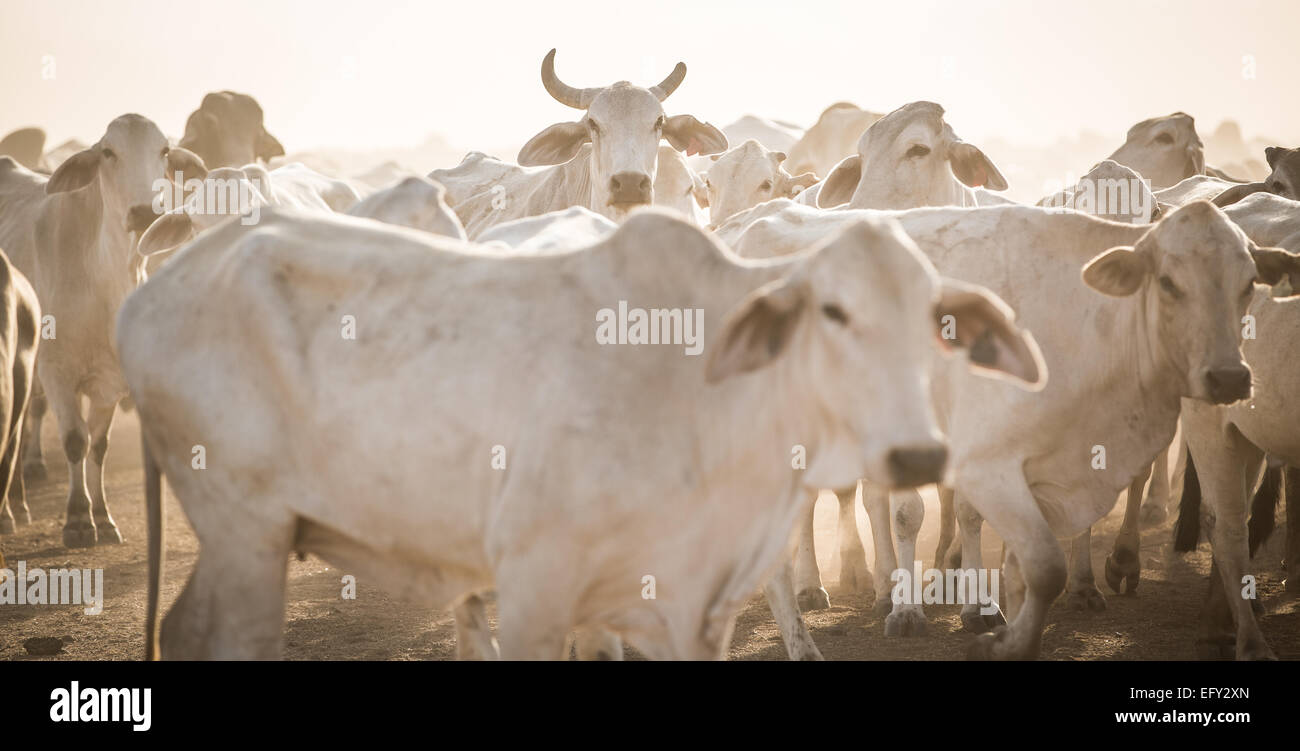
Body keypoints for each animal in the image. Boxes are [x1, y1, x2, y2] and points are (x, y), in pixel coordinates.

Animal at [0, 114, 207, 547]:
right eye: (108, 152)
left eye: (164, 151)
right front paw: (78, 519)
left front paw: (103, 516)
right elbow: (75, 441)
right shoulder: (56, 371)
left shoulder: (111, 379)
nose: (145, 211)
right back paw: (10, 511)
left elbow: (98, 445)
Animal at [119, 207, 1042, 660]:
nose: (919, 452)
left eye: (936, 322)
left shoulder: (683, 606)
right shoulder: (536, 582)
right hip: (245, 529)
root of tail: (152, 288)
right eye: (834, 311)